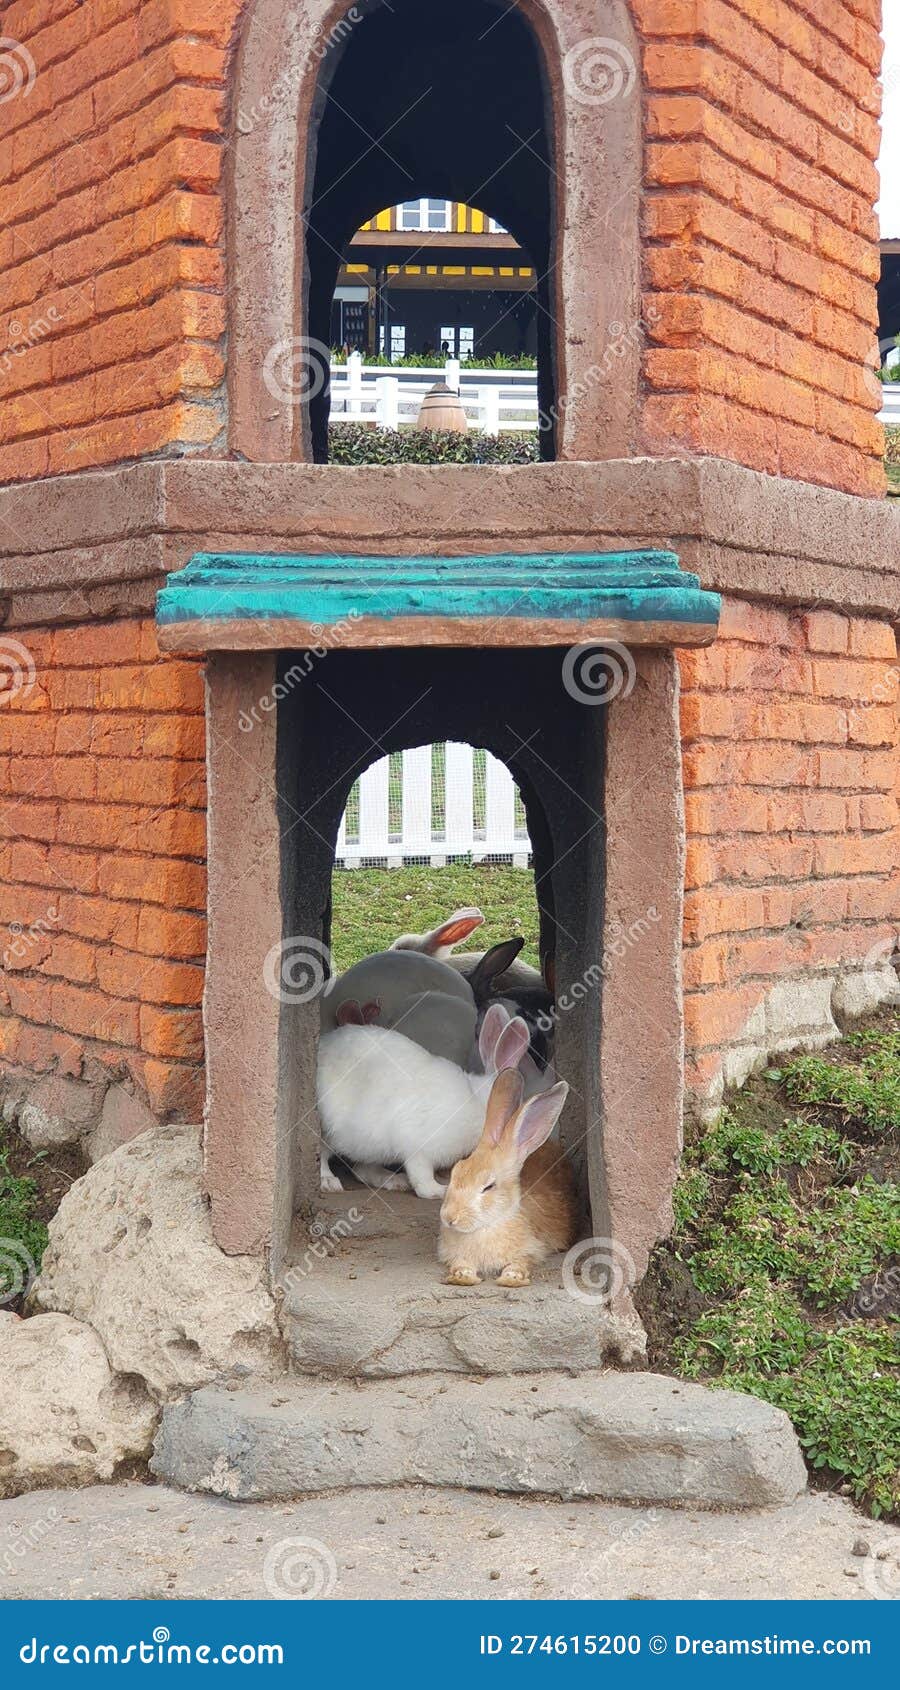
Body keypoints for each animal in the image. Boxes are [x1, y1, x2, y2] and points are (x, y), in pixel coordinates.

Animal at [316, 1002, 531, 1199]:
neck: (478, 1104)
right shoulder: (418, 1150)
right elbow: (424, 1182)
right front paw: (441, 1190)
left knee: (363, 1170)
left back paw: (395, 1181)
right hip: (330, 1131)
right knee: (323, 1155)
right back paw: (328, 1181)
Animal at [438, 1068, 577, 1286]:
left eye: (489, 1186)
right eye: (455, 1173)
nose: (449, 1218)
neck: (487, 1226)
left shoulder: (531, 1250)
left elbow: (520, 1263)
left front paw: (511, 1279)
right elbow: (461, 1263)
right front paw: (462, 1277)